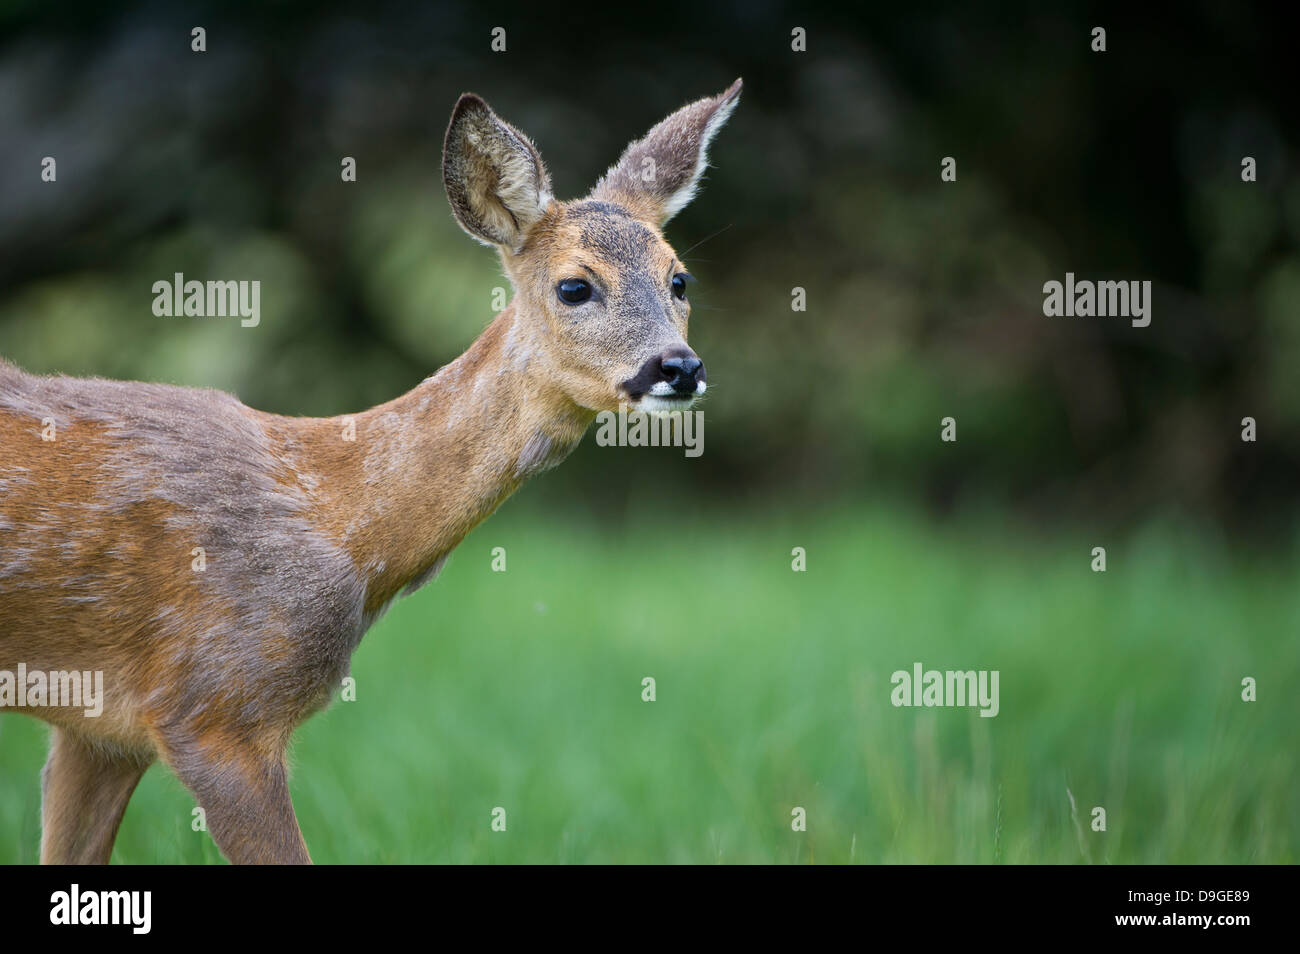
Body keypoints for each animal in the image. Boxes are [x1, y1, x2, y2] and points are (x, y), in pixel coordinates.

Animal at [0, 79, 742, 864]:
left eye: (680, 278)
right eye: (575, 287)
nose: (678, 367)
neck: (340, 517)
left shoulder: (100, 731)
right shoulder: (215, 705)